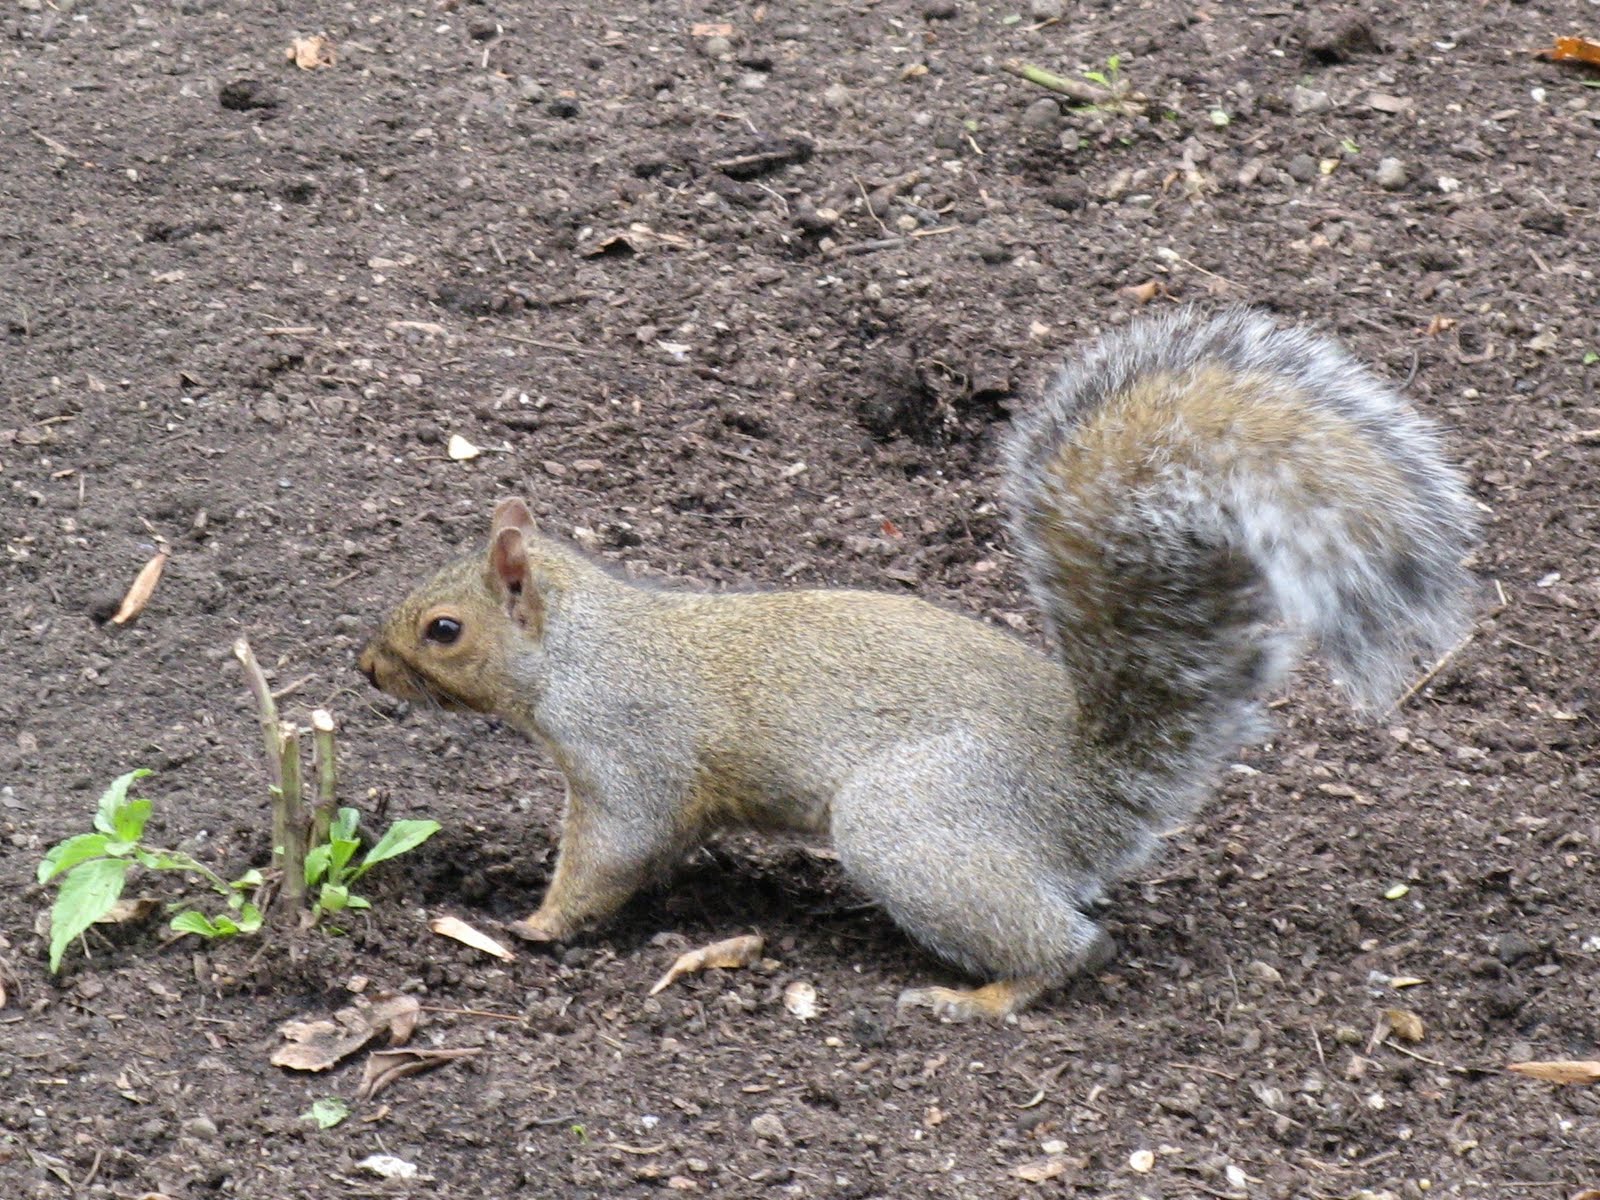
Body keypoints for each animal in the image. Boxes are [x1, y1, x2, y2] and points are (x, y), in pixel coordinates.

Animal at [358, 308, 1477, 1020]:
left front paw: (535, 924)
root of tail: (1090, 788)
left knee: (1069, 947)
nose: (367, 669)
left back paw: (978, 996)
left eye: (444, 630)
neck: (578, 646)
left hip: (913, 823)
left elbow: (611, 849)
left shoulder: (630, 752)